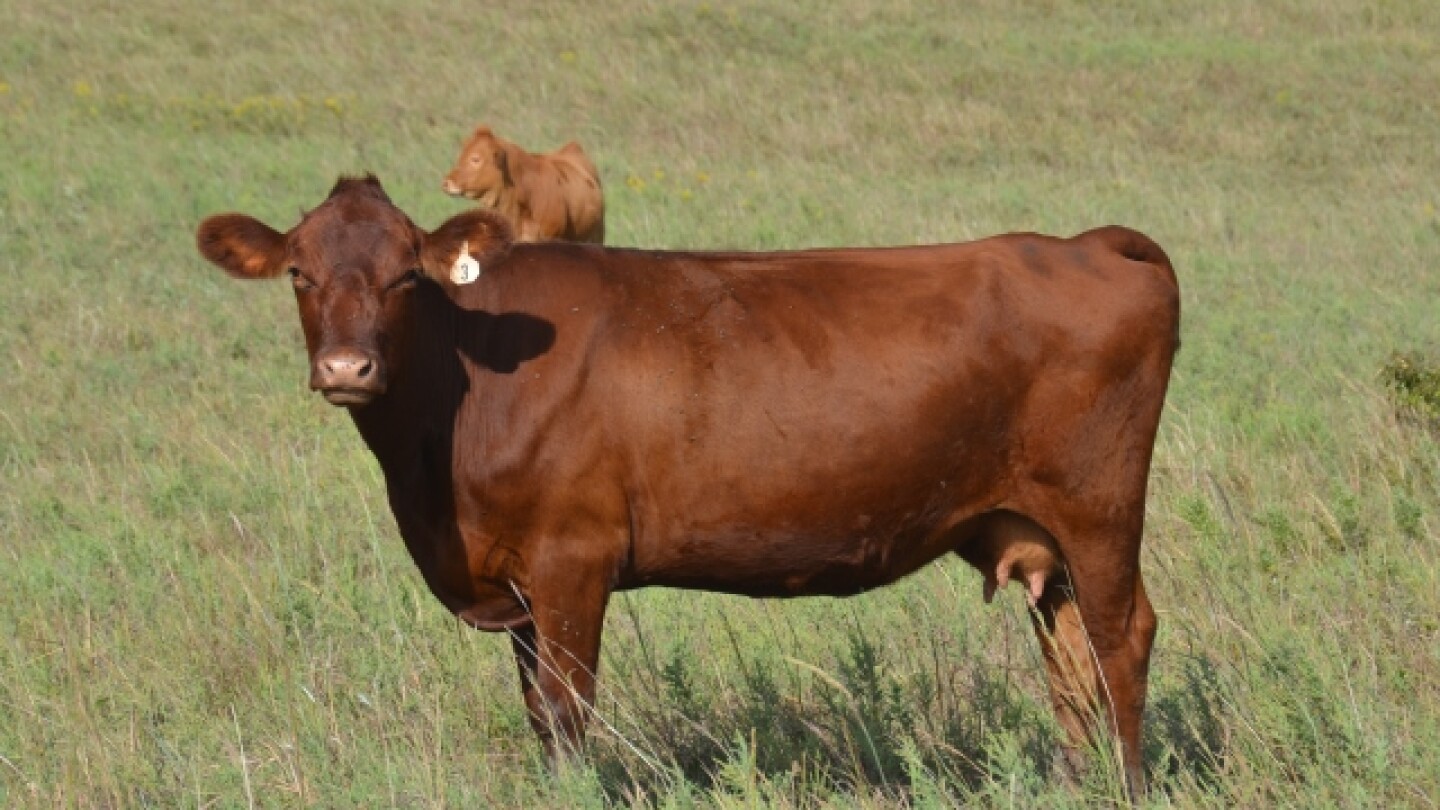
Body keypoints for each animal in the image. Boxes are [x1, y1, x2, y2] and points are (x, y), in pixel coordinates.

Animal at [195, 175, 1179, 796]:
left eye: (406, 274)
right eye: (299, 272)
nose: (346, 368)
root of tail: (1086, 244)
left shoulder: (572, 558)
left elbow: (568, 712)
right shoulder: (517, 579)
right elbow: (536, 713)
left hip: (1099, 507)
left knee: (1119, 638)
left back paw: (1128, 788)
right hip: (1038, 532)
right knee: (1068, 657)